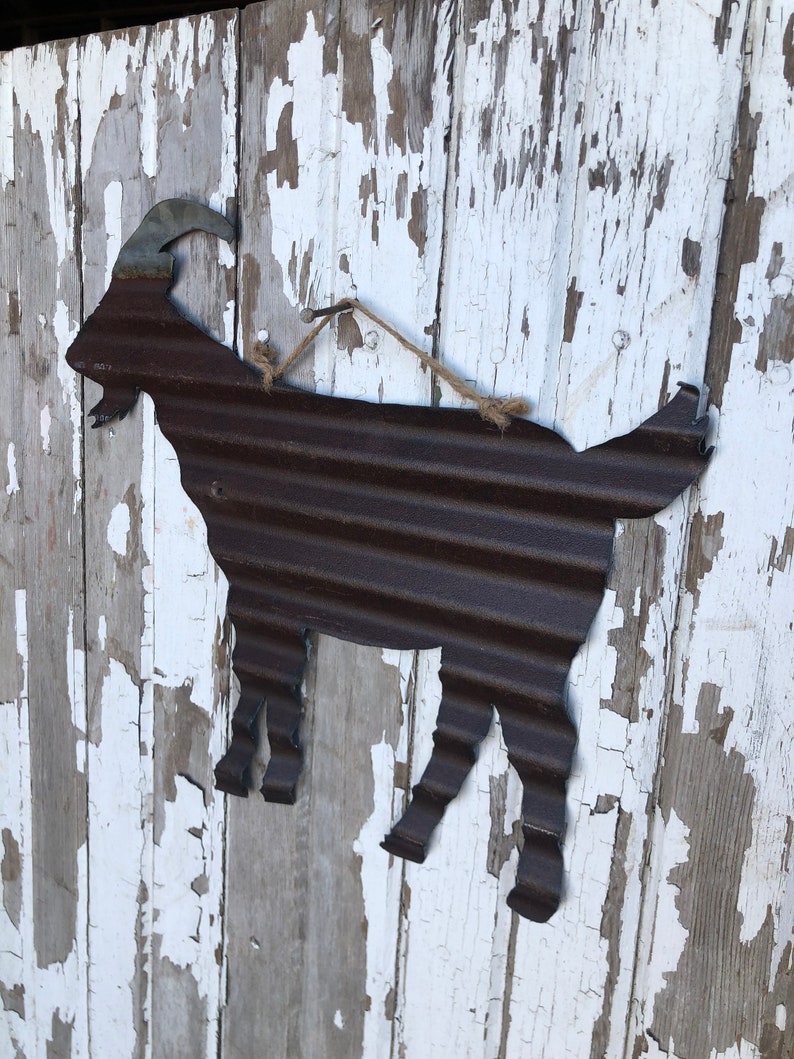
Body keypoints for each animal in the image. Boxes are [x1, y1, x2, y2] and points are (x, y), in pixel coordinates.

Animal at [66, 200, 711, 921]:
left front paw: (262, 777)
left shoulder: (265, 590)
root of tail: (594, 478)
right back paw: (408, 836)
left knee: (544, 749)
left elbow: (267, 683)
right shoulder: (265, 593)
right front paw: (251, 775)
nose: (73, 356)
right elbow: (264, 684)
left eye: (130, 313)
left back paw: (530, 890)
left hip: (527, 650)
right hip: (479, 647)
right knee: (463, 733)